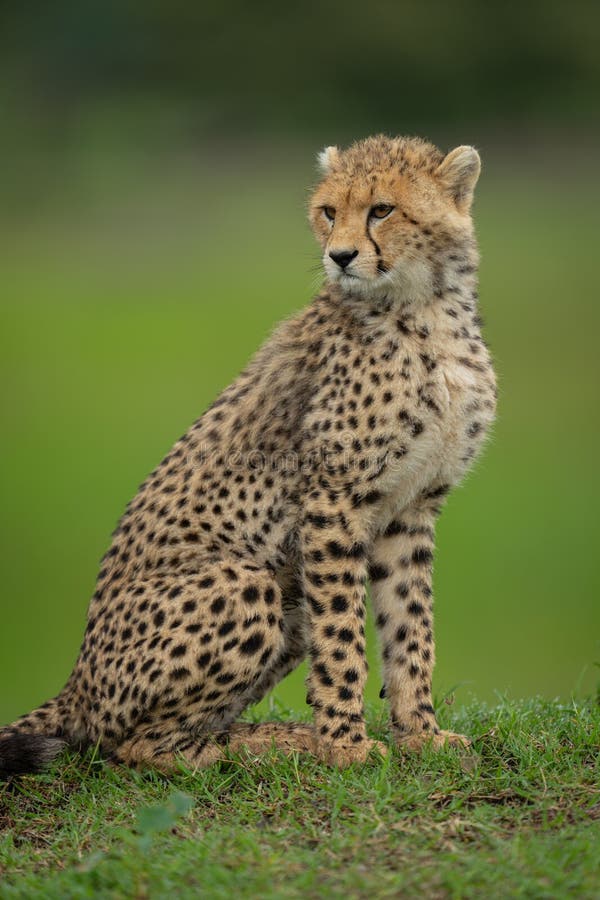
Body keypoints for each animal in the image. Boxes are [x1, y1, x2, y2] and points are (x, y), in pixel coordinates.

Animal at [0, 134, 497, 776]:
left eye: (382, 210)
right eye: (328, 211)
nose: (339, 256)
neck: (423, 307)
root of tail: (77, 684)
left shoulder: (410, 510)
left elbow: (410, 628)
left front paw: (421, 735)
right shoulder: (332, 503)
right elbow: (343, 637)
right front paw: (346, 748)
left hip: (287, 606)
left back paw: (277, 739)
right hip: (246, 583)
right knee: (132, 746)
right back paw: (276, 746)